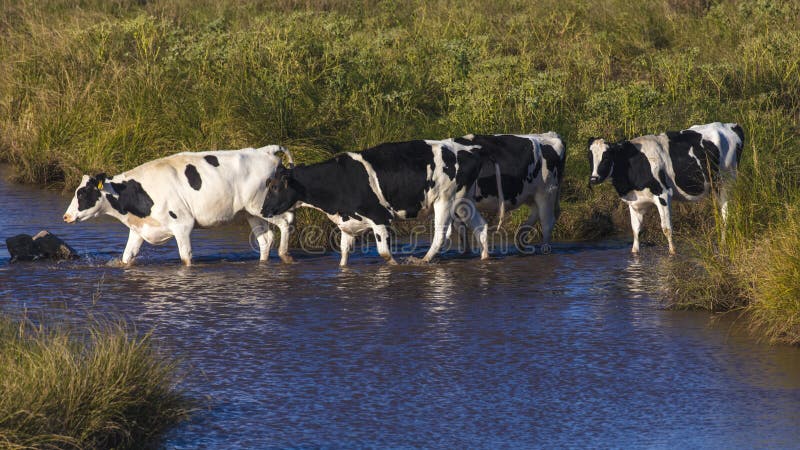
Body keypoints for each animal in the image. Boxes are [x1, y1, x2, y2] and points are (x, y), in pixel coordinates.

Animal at [63, 145, 296, 266]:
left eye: (82, 192)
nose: (65, 217)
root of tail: (265, 151)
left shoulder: (183, 225)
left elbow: (185, 257)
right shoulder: (140, 230)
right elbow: (127, 257)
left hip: (262, 206)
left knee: (287, 221)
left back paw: (285, 255)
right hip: (250, 212)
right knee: (266, 239)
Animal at [260, 140, 503, 266]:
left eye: (275, 187)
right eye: (268, 184)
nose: (263, 209)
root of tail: (472, 150)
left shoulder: (379, 219)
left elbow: (384, 252)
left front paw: (395, 266)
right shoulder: (347, 225)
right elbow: (344, 254)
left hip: (446, 200)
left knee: (441, 234)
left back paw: (423, 260)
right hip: (465, 201)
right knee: (480, 226)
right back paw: (485, 258)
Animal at [588, 122, 744, 255]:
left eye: (606, 157)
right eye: (590, 158)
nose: (594, 178)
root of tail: (730, 125)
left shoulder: (663, 194)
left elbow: (667, 229)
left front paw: (672, 252)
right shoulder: (635, 202)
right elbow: (636, 230)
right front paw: (635, 253)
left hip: (727, 181)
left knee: (726, 214)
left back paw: (723, 244)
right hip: (716, 186)